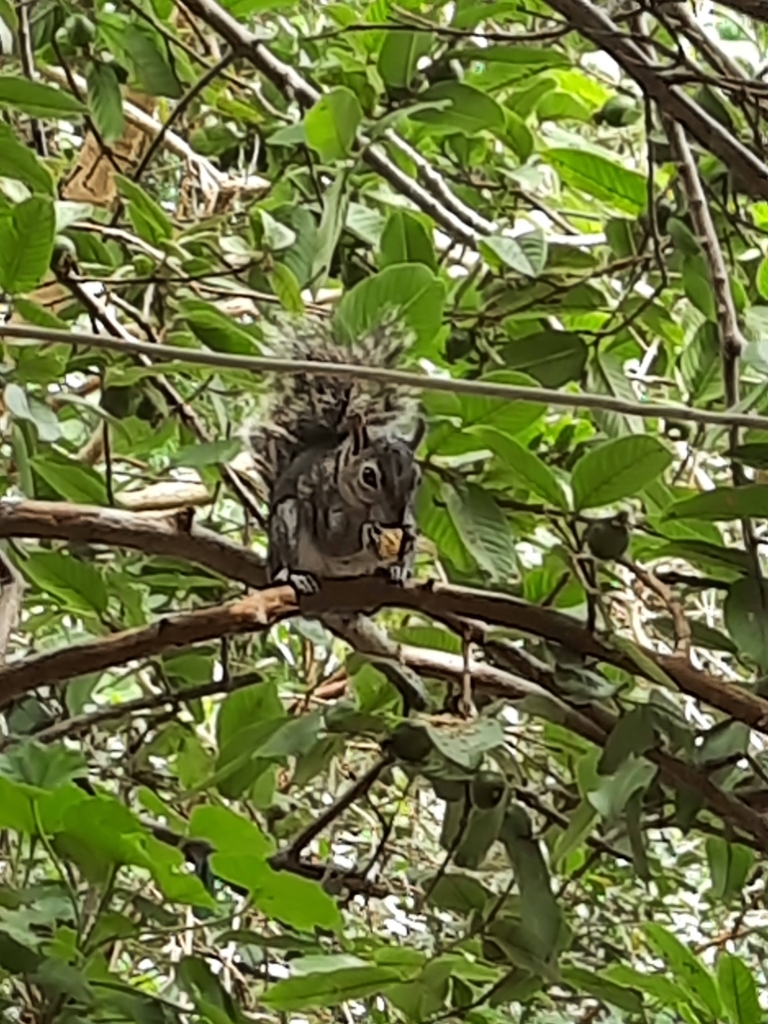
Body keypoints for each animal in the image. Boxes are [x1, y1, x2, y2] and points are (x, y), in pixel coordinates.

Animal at [246, 318, 424, 595]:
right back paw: (293, 576)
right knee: (283, 563)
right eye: (368, 476)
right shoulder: (321, 498)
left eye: (417, 480)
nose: (392, 519)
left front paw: (404, 556)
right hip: (286, 520)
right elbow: (333, 540)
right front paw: (367, 532)